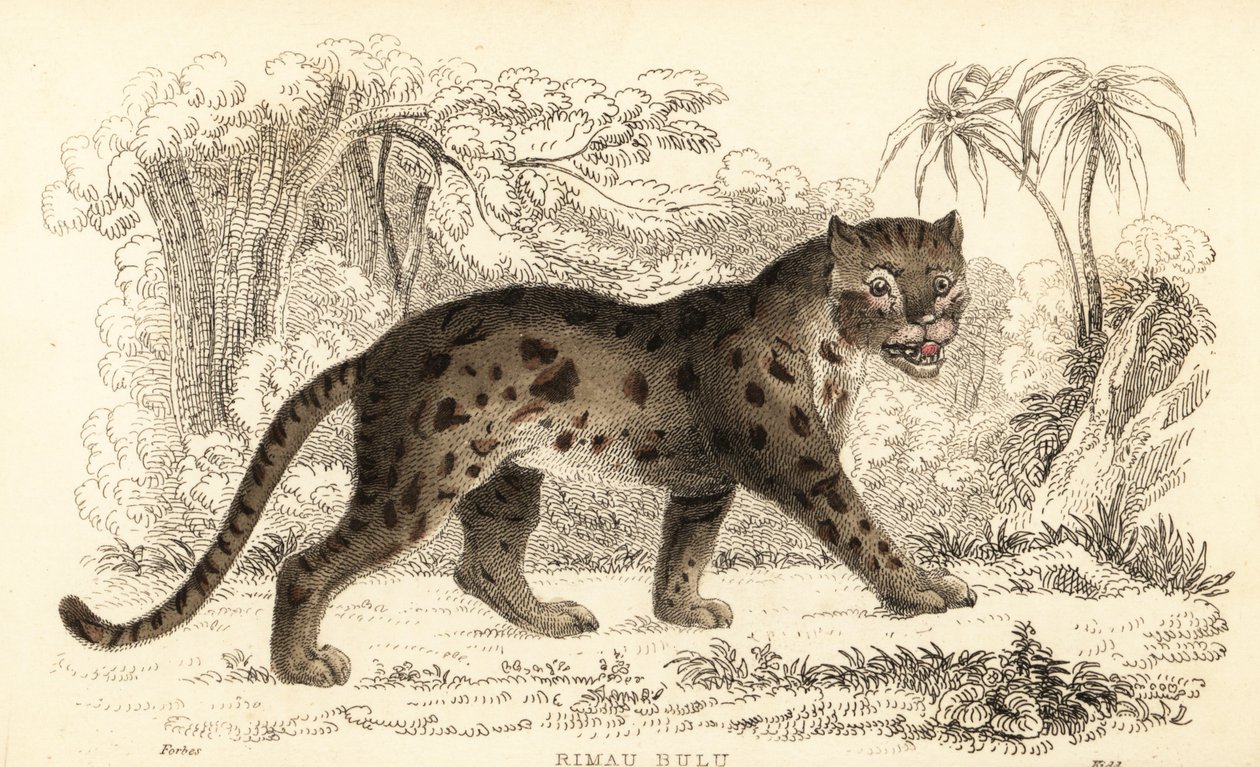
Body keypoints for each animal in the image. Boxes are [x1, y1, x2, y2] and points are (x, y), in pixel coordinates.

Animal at [60, 211, 977, 686]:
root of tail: (378, 349)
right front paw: (927, 590)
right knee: (306, 566)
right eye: (881, 283)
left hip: (506, 481)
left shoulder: (703, 484)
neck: (836, 345)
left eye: (946, 278)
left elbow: (683, 551)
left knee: (483, 562)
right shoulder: (807, 465)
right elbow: (867, 532)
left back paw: (552, 617)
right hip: (413, 487)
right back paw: (304, 667)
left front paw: (681, 611)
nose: (934, 313)